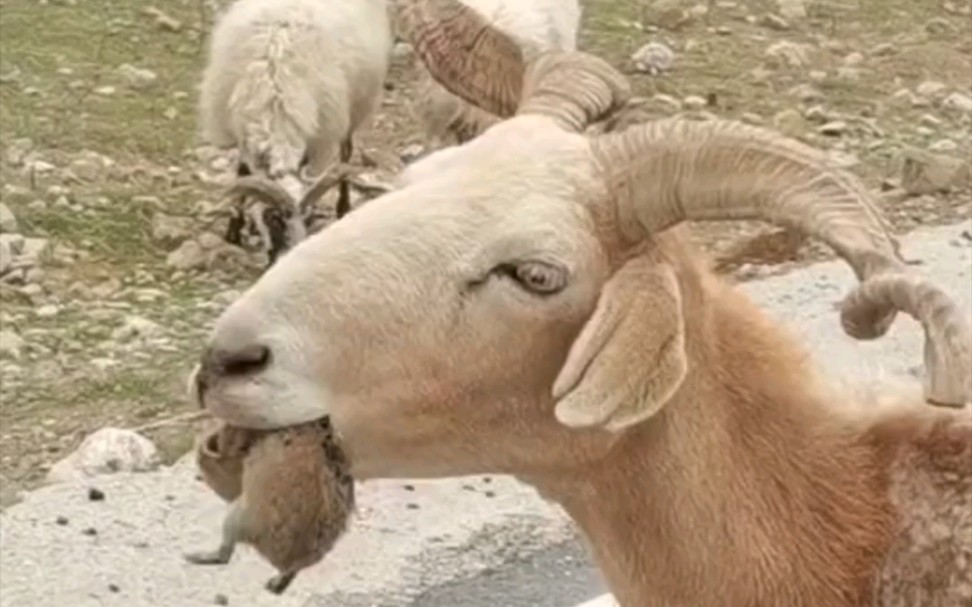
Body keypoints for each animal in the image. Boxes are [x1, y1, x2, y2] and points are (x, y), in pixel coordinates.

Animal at [198, 0, 393, 266]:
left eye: (308, 218)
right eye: (273, 218)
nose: (288, 259)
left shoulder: (319, 140)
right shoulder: (242, 134)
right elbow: (242, 173)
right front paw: (234, 229)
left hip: (355, 105)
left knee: (346, 151)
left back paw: (343, 207)